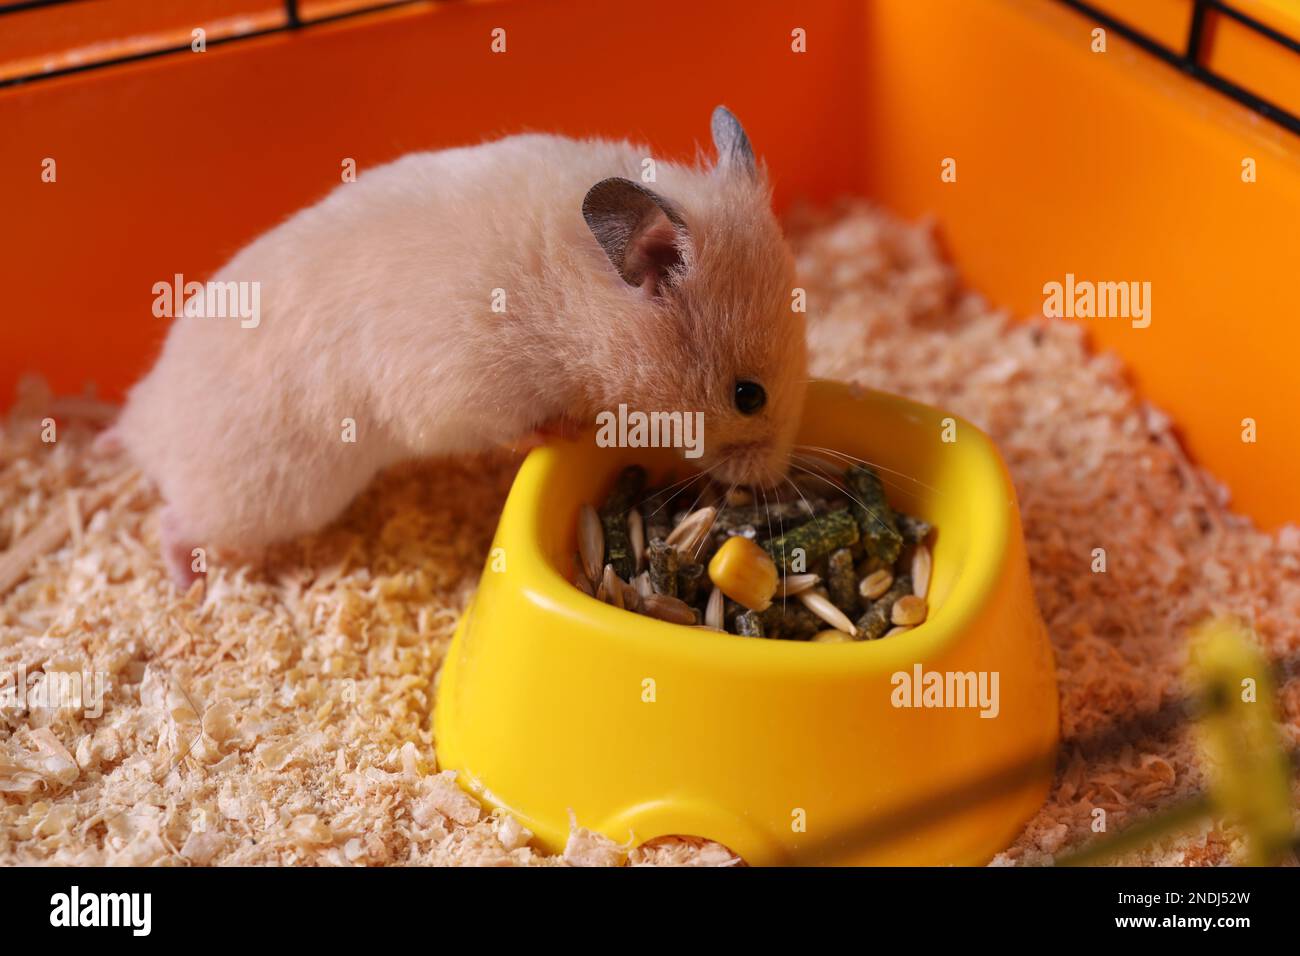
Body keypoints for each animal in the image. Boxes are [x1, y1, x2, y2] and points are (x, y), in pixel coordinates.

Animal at [116, 106, 808, 585]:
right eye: (747, 395)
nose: (773, 478)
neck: (573, 290)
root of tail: (138, 422)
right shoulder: (464, 391)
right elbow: (515, 429)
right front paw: (566, 430)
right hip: (273, 496)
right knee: (173, 518)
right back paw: (184, 581)